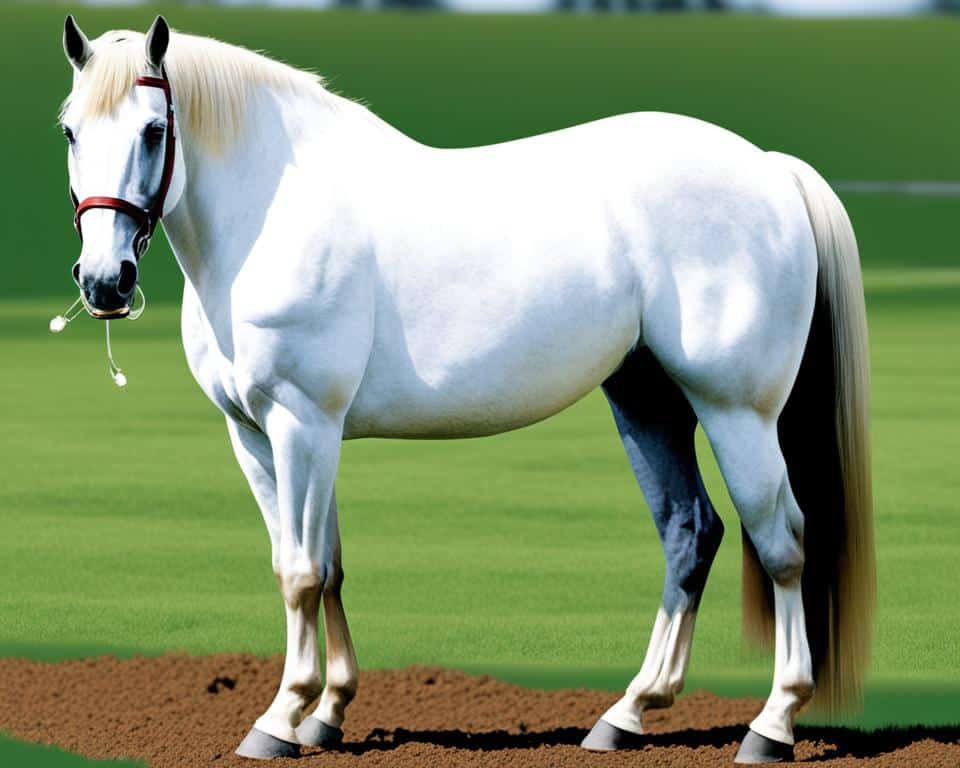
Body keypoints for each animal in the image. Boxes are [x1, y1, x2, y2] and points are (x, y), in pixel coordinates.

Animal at [59, 15, 875, 763]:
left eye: (155, 130)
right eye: (70, 130)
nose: (105, 282)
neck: (272, 209)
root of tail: (770, 171)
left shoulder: (302, 423)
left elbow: (300, 572)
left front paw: (280, 720)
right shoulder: (258, 434)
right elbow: (325, 565)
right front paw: (329, 712)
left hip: (738, 411)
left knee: (782, 543)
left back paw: (772, 724)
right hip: (648, 400)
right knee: (689, 532)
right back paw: (629, 713)